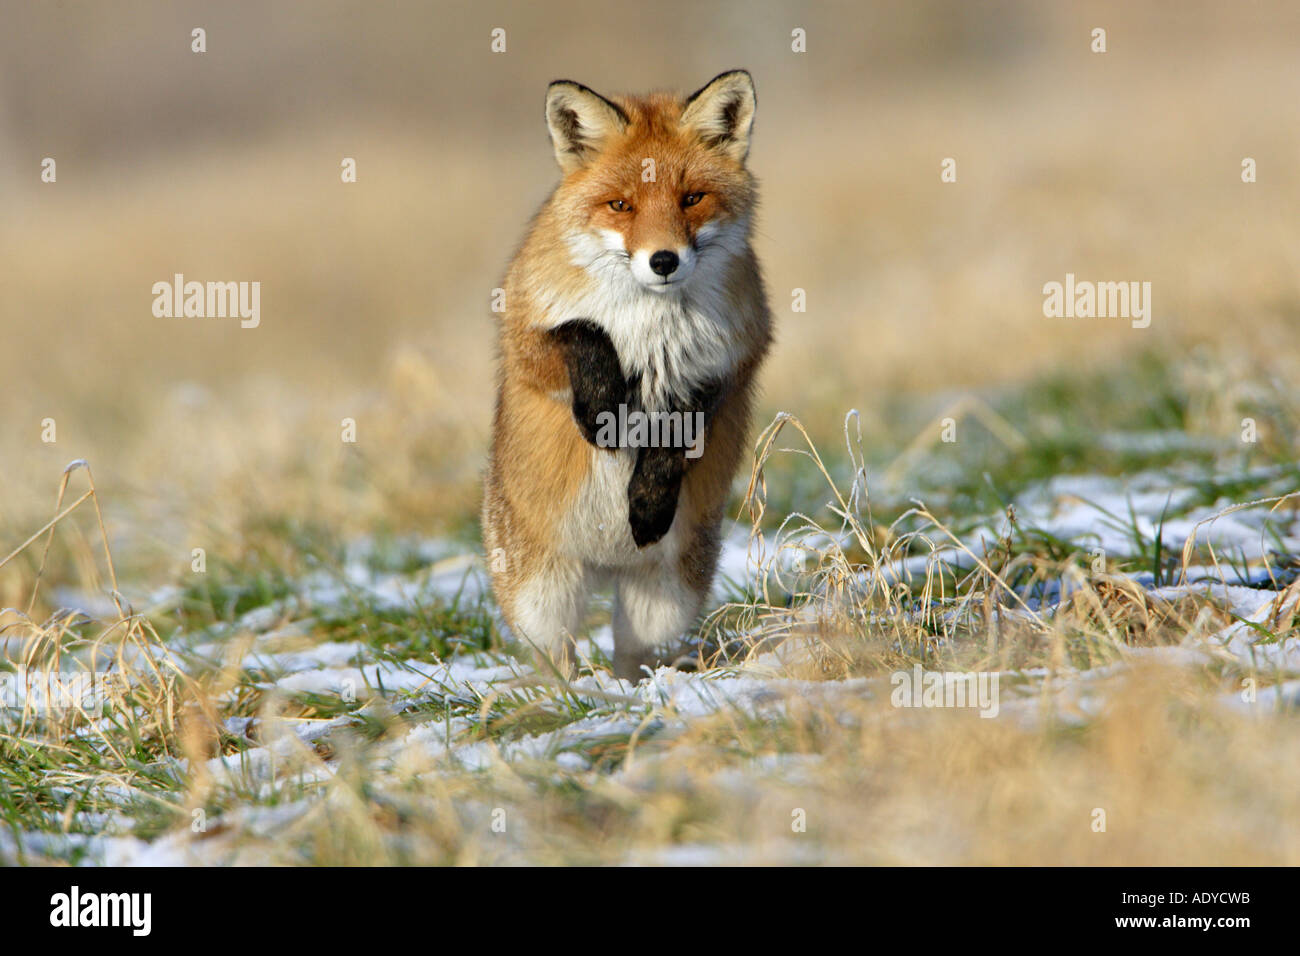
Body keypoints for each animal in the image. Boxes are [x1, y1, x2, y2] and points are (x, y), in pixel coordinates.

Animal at [482, 70, 772, 681]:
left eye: (692, 198)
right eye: (621, 205)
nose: (663, 260)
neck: (648, 324)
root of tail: (605, 561)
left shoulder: (729, 365)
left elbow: (674, 435)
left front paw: (647, 502)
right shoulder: (523, 338)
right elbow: (582, 332)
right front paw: (599, 411)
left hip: (663, 601)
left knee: (631, 653)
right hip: (543, 599)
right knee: (556, 656)